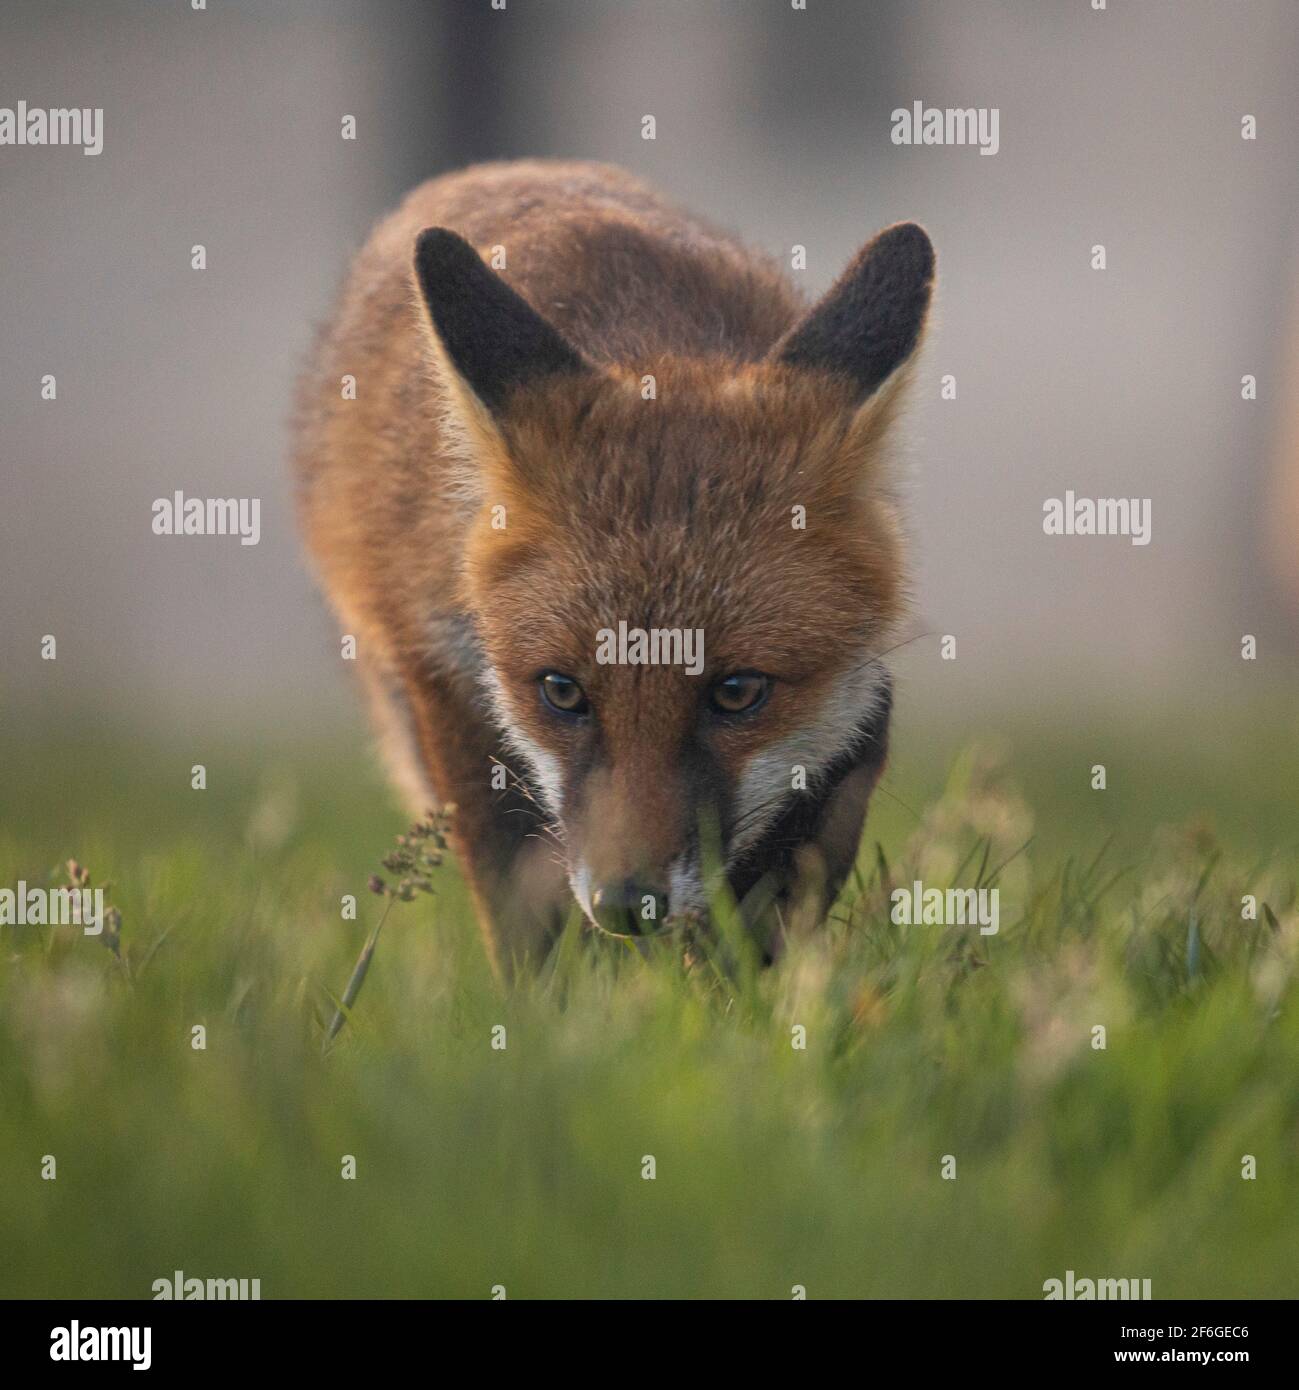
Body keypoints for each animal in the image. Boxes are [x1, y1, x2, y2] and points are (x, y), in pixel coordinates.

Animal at [293, 159, 934, 977]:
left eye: (738, 692)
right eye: (562, 691)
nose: (628, 906)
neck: (653, 337)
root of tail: (501, 167)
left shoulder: (853, 706)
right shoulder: (443, 677)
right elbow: (525, 918)